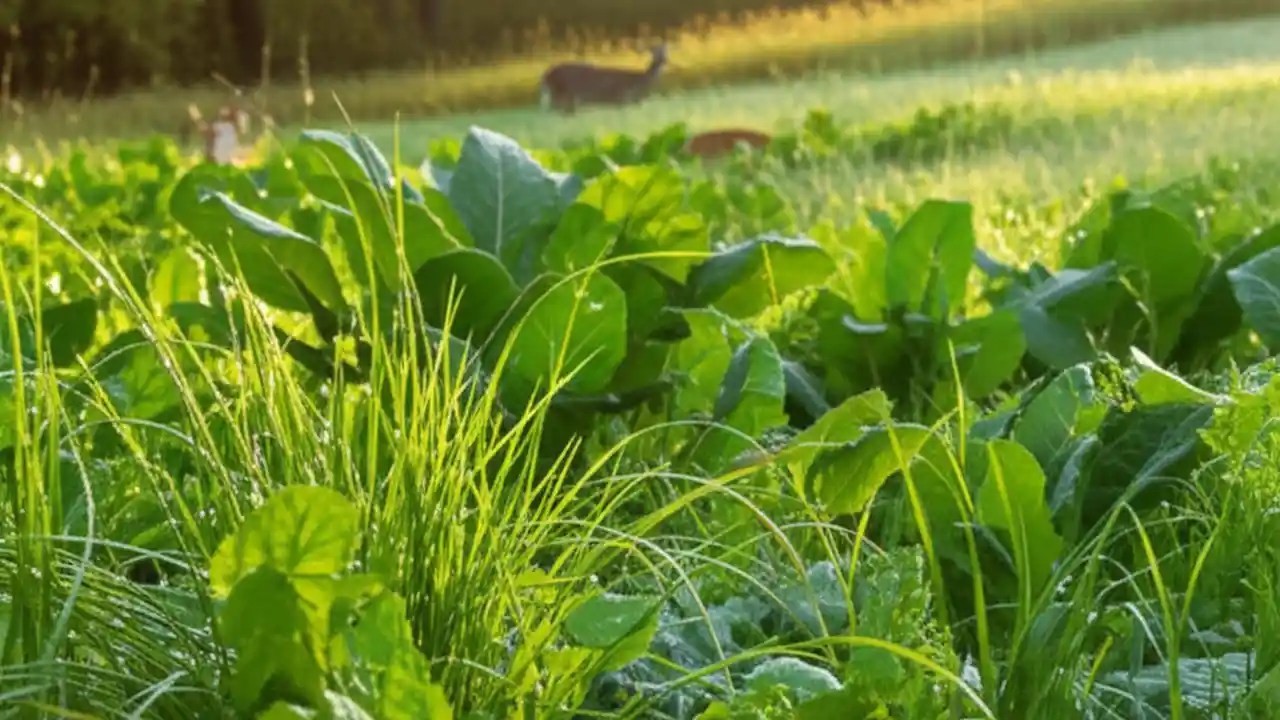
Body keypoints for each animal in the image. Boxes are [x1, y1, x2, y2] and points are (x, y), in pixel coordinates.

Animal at [540, 43, 669, 114]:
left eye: (665, 51)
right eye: (654, 52)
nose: (664, 60)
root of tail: (546, 75)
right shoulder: (624, 97)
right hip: (562, 92)